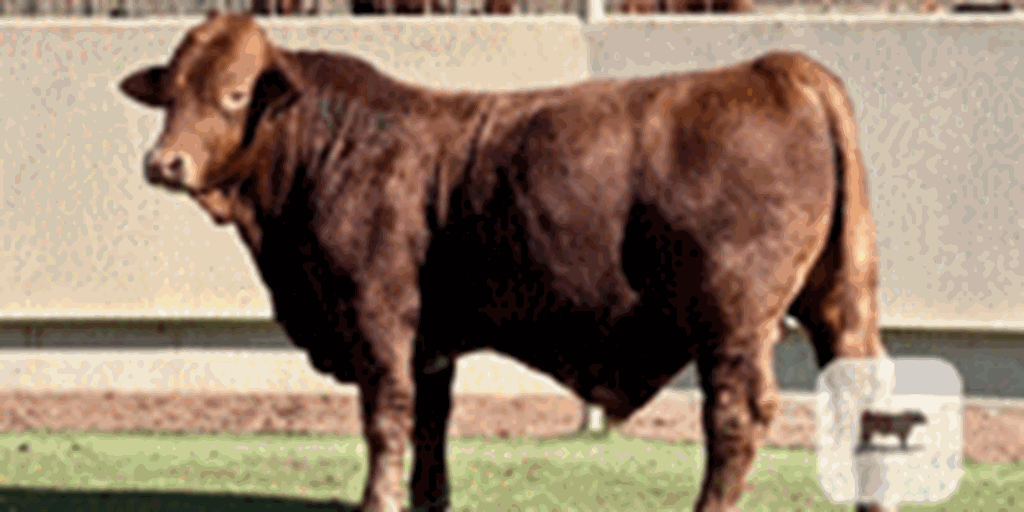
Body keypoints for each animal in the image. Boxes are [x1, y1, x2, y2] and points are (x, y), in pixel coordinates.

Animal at [118, 11, 888, 512]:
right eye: (171, 93)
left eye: (234, 93)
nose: (163, 162)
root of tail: (776, 69)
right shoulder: (432, 339)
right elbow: (430, 424)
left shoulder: (379, 314)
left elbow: (387, 415)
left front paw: (378, 501)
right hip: (840, 302)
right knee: (864, 398)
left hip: (732, 321)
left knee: (736, 418)